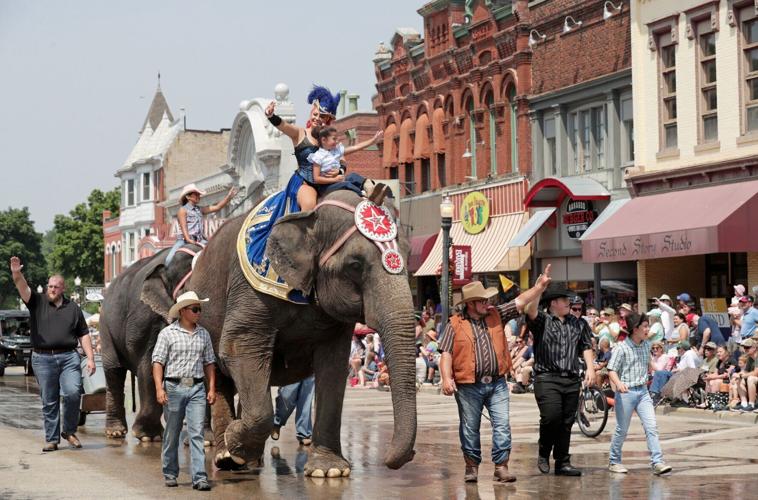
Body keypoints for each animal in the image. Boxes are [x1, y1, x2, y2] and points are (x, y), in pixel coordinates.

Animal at [99, 243, 201, 441]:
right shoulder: (144, 319)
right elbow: (149, 365)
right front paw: (149, 436)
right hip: (106, 326)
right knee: (114, 371)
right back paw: (115, 432)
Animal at [170, 188, 418, 476]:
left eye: (409, 254)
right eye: (355, 264)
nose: (392, 459)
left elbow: (333, 366)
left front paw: (329, 471)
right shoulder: (250, 288)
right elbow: (239, 348)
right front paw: (234, 442)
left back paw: (246, 459)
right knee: (219, 375)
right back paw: (227, 457)